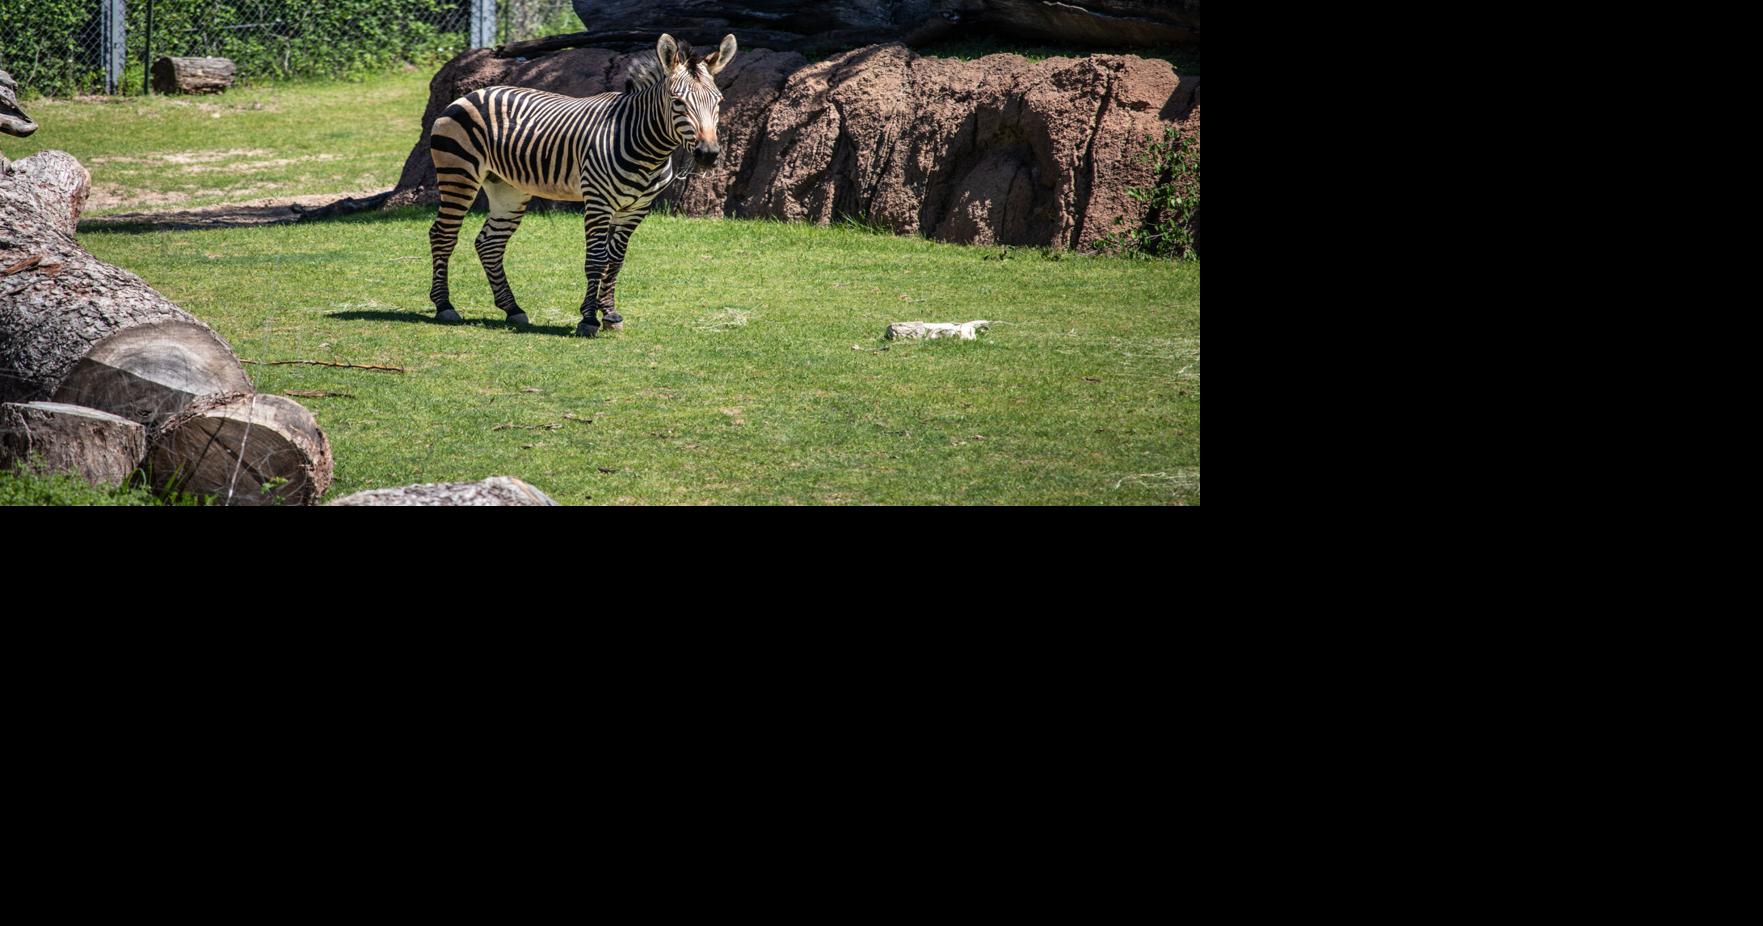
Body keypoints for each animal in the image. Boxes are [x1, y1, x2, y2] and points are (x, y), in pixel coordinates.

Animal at [426, 33, 736, 337]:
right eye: (677, 102)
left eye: (719, 101)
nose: (708, 154)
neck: (644, 144)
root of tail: (473, 93)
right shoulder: (598, 202)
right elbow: (596, 259)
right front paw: (588, 319)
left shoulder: (636, 209)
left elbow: (616, 260)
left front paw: (610, 314)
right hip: (458, 173)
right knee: (443, 234)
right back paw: (444, 305)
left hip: (507, 188)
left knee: (489, 243)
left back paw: (512, 309)